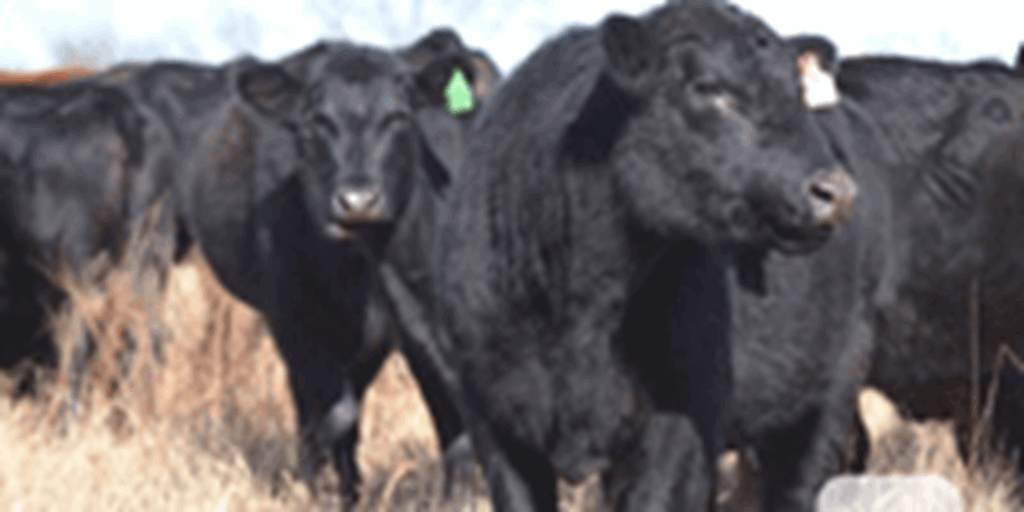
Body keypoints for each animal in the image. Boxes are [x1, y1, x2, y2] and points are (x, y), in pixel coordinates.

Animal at [176, 31, 500, 505]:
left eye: (399, 117)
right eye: (315, 123)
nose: (358, 201)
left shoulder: (404, 326)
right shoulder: (290, 316)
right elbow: (329, 414)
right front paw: (304, 487)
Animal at [430, 0, 859, 509]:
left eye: (797, 92)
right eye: (707, 88)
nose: (835, 191)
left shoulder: (686, 416)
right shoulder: (493, 423)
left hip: (819, 402)